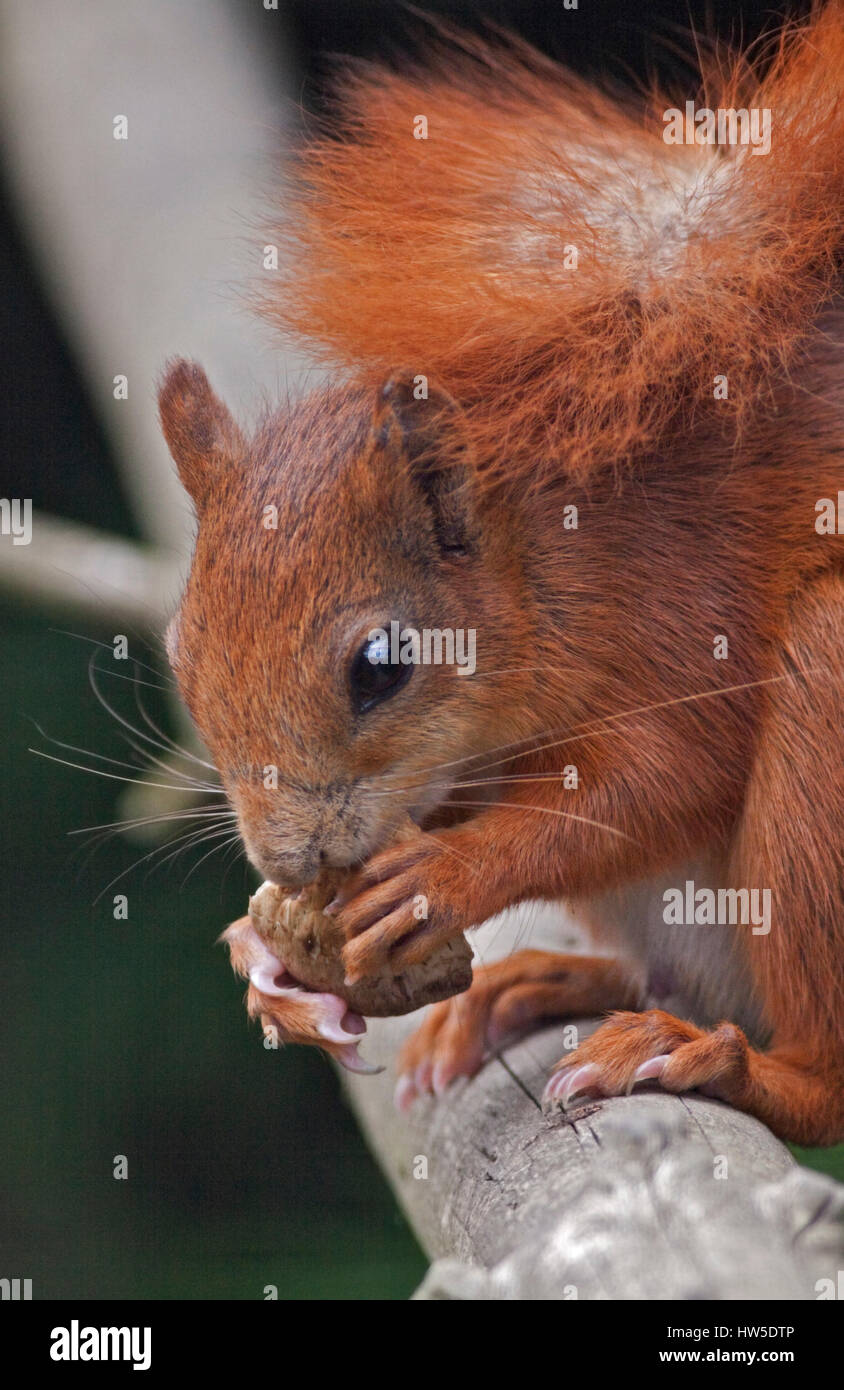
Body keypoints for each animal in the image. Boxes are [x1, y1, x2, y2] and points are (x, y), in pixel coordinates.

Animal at [158, 5, 844, 1145]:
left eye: (380, 666)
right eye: (180, 654)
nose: (290, 863)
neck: (544, 557)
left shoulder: (683, 608)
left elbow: (668, 775)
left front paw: (445, 874)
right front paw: (269, 960)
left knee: (823, 1075)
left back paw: (719, 1059)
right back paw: (534, 987)